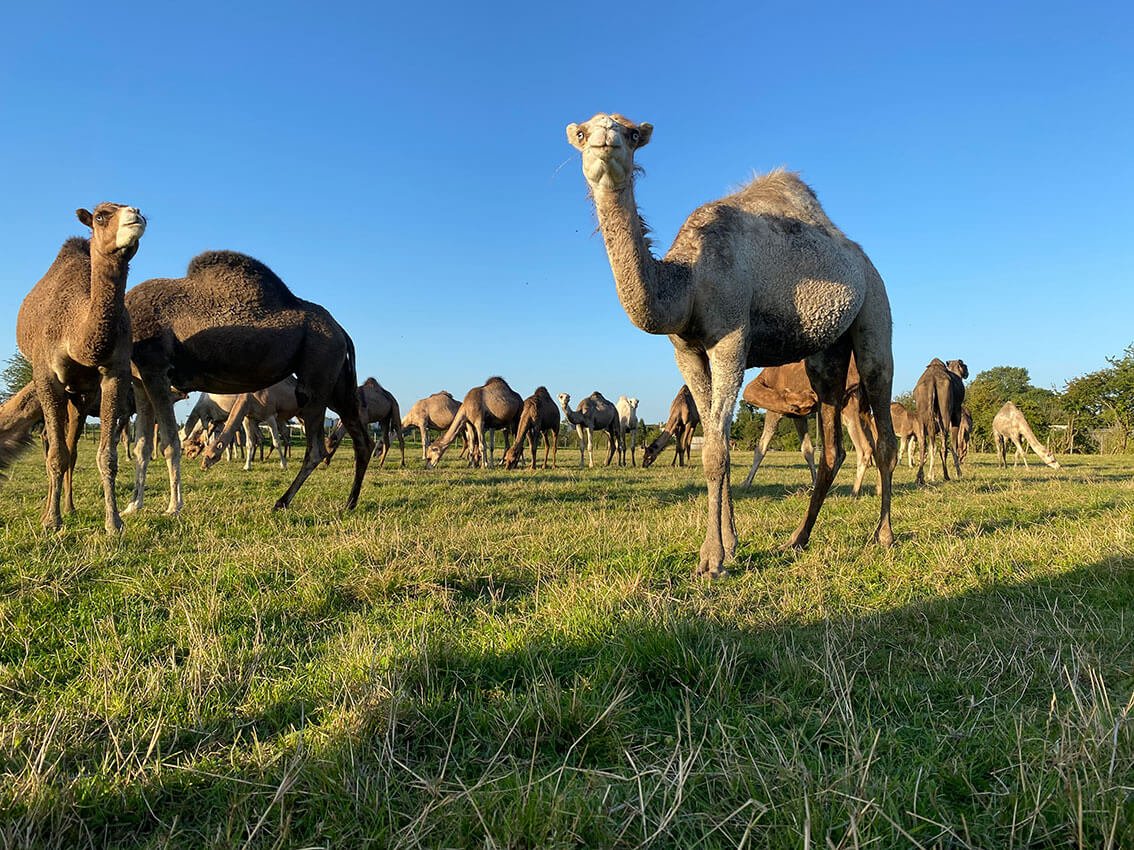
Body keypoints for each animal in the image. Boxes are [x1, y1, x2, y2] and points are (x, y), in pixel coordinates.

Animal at [1, 204, 146, 532]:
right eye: (101, 215)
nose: (135, 213)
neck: (75, 334)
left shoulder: (112, 375)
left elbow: (106, 456)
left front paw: (114, 523)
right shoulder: (47, 376)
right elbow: (56, 454)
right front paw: (51, 523)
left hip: (79, 396)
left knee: (73, 448)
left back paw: (69, 506)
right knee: (54, 446)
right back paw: (49, 511)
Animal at [124, 250, 374, 514]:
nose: (200, 461)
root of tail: (341, 331)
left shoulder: (155, 369)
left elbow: (171, 441)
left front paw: (173, 507)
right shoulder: (140, 379)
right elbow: (142, 445)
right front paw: (132, 506)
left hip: (317, 373)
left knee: (316, 449)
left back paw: (282, 501)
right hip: (336, 382)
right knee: (362, 441)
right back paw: (350, 502)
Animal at [738, 358, 877, 496]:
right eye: (806, 404)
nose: (815, 396)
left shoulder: (775, 410)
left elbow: (761, 448)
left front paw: (745, 483)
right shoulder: (798, 416)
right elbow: (807, 449)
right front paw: (813, 483)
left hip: (849, 402)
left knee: (862, 448)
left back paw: (853, 493)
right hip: (860, 405)